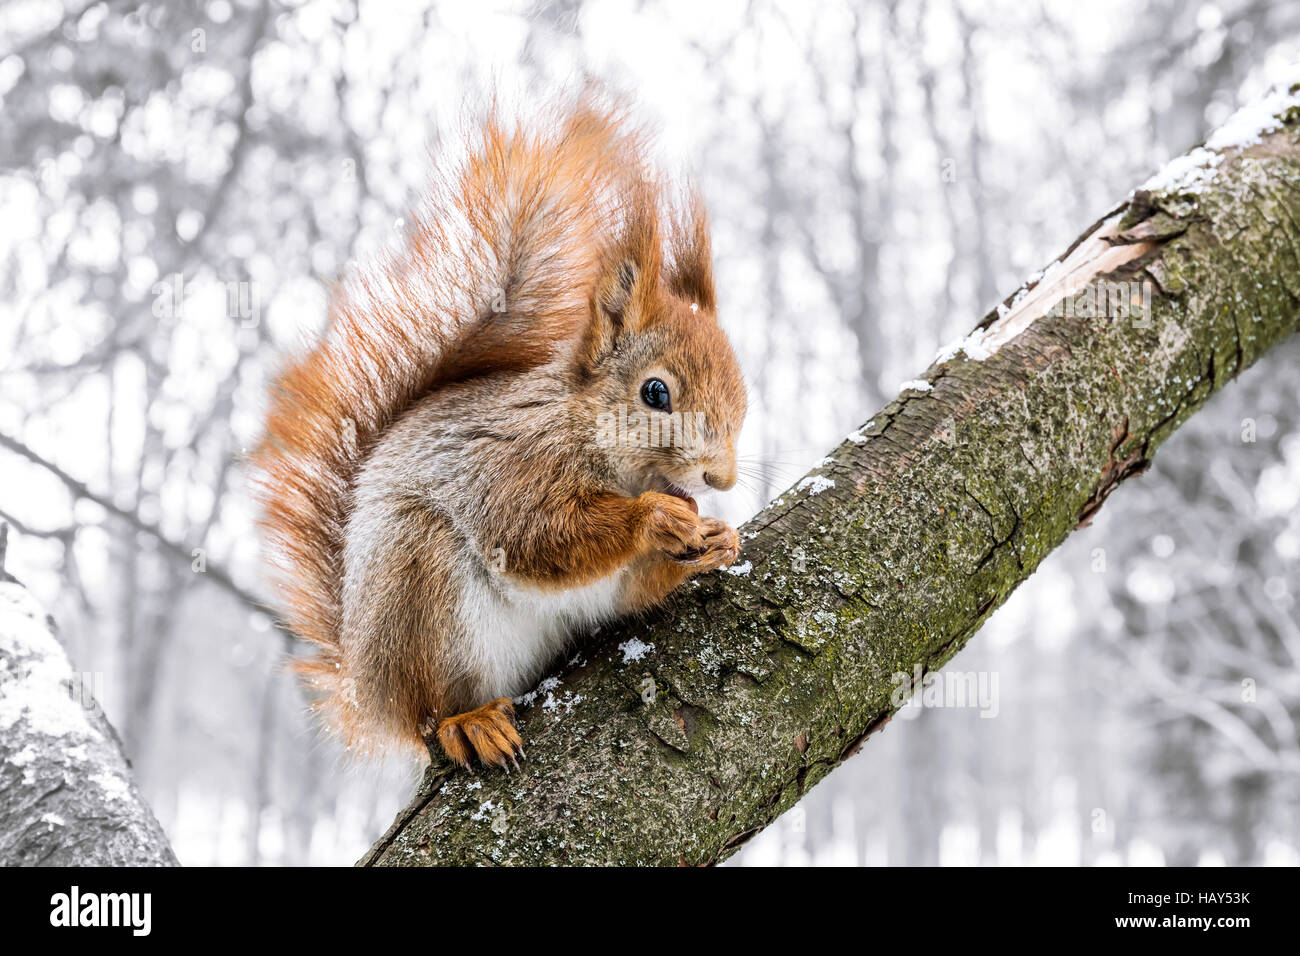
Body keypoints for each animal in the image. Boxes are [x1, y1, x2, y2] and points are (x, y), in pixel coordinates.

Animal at [254, 95, 747, 770]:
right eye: (655, 393)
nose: (721, 477)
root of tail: (365, 685)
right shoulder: (512, 464)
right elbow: (535, 536)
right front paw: (654, 518)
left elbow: (629, 589)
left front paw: (718, 538)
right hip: (417, 579)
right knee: (427, 713)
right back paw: (466, 722)